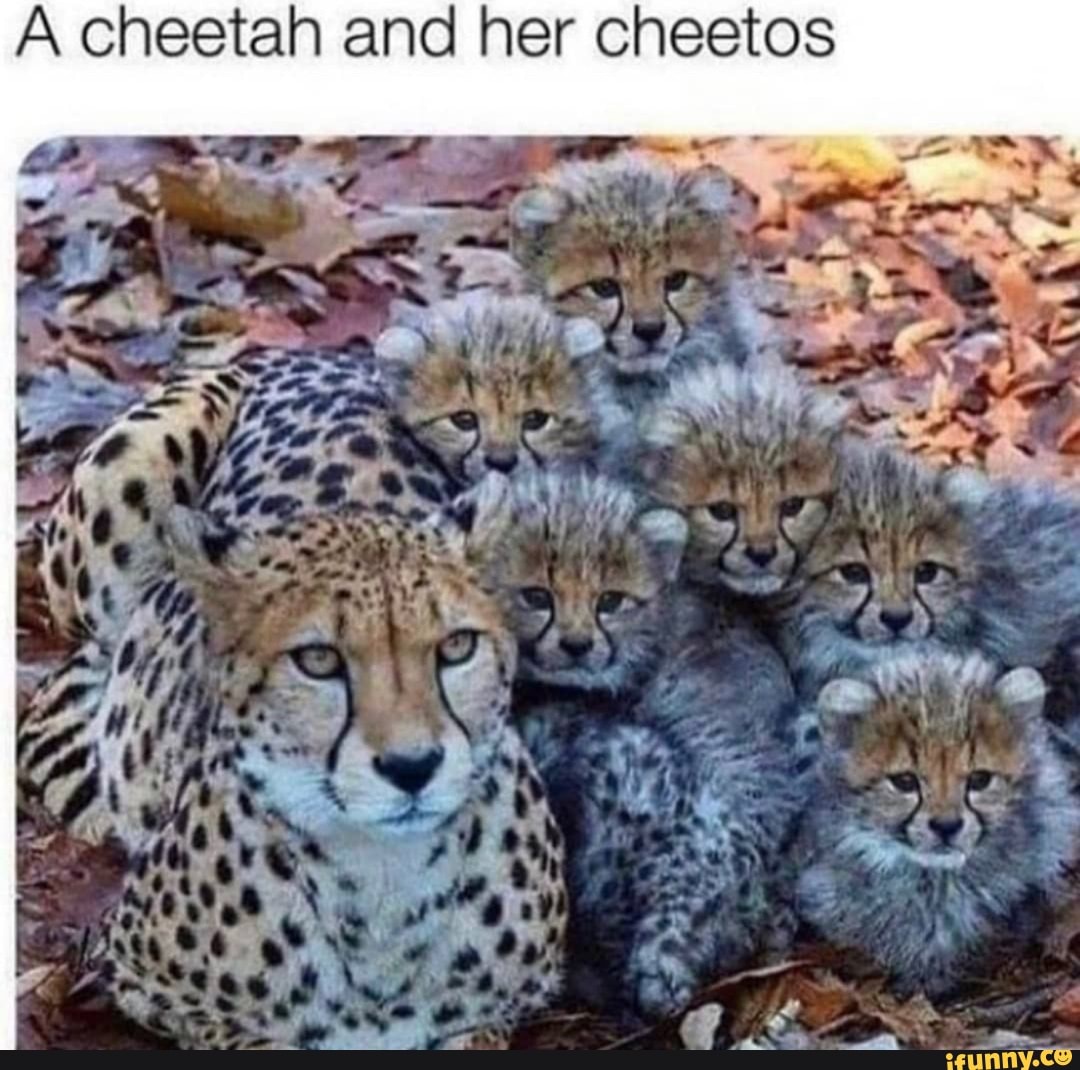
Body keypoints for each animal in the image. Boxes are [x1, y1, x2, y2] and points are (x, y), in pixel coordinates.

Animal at [18, 505, 568, 1049]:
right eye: (318, 660)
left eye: (457, 646)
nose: (412, 766)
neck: (383, 874)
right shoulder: (138, 979)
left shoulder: (502, 1008)